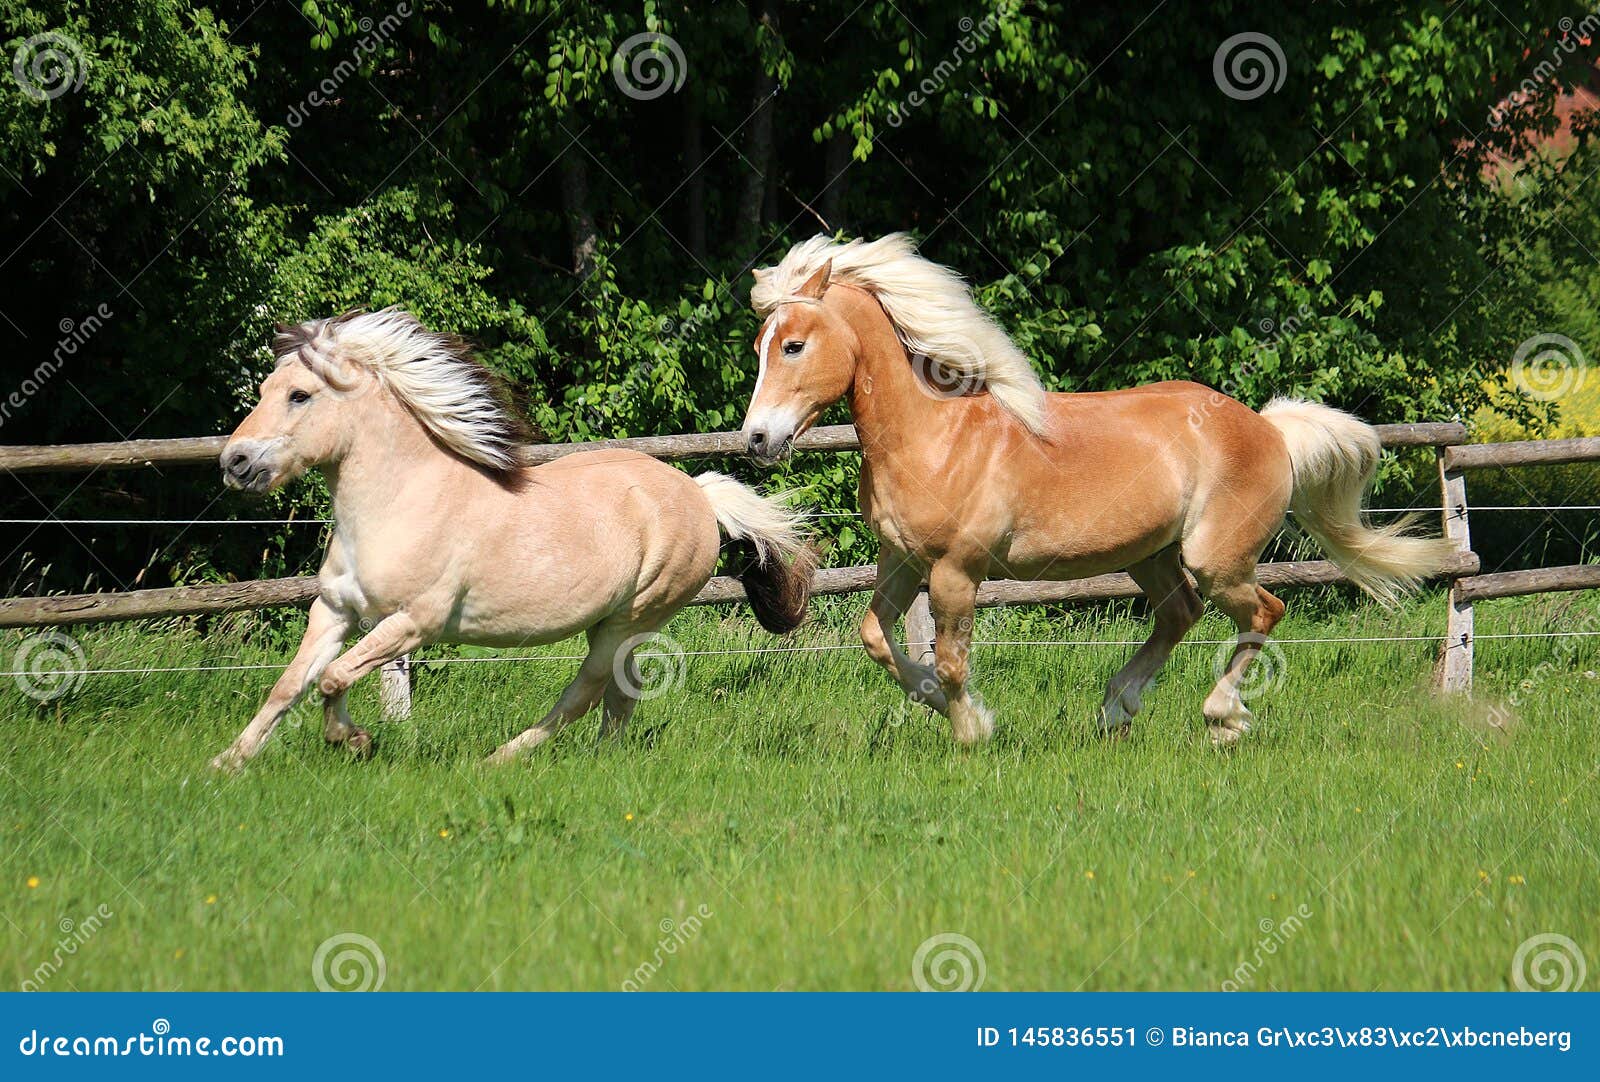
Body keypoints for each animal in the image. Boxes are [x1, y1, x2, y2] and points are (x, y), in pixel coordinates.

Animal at [210, 308, 813, 770]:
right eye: (263, 390)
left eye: (299, 395)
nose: (234, 463)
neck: (398, 504)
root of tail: (699, 494)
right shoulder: (334, 609)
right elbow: (291, 685)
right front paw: (227, 763)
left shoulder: (411, 623)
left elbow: (333, 678)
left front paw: (353, 739)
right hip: (614, 623)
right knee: (622, 690)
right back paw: (603, 758)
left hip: (635, 614)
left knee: (586, 690)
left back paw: (499, 759)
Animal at [738, 234, 1455, 745]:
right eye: (760, 346)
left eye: (794, 345)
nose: (756, 439)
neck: (937, 436)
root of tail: (1269, 430)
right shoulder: (901, 560)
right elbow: (877, 639)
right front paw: (944, 706)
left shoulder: (956, 571)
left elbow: (951, 663)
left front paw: (974, 729)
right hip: (1151, 556)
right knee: (1180, 614)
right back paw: (1117, 708)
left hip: (1216, 558)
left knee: (1263, 613)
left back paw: (1223, 719)